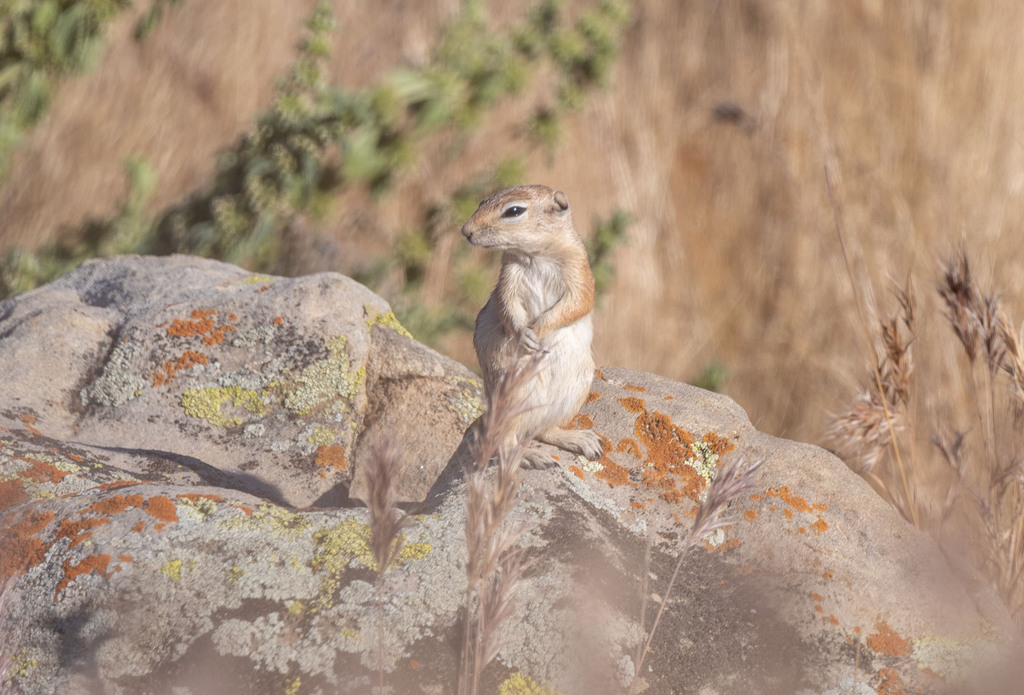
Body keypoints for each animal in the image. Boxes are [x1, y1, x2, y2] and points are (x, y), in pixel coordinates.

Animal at [462, 184, 603, 469]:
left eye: (514, 211)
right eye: (482, 201)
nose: (466, 231)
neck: (536, 255)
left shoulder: (580, 272)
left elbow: (578, 302)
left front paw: (538, 331)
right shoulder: (508, 278)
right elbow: (507, 307)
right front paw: (524, 336)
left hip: (573, 395)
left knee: (543, 431)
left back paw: (580, 440)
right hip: (512, 398)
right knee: (505, 441)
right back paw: (532, 456)